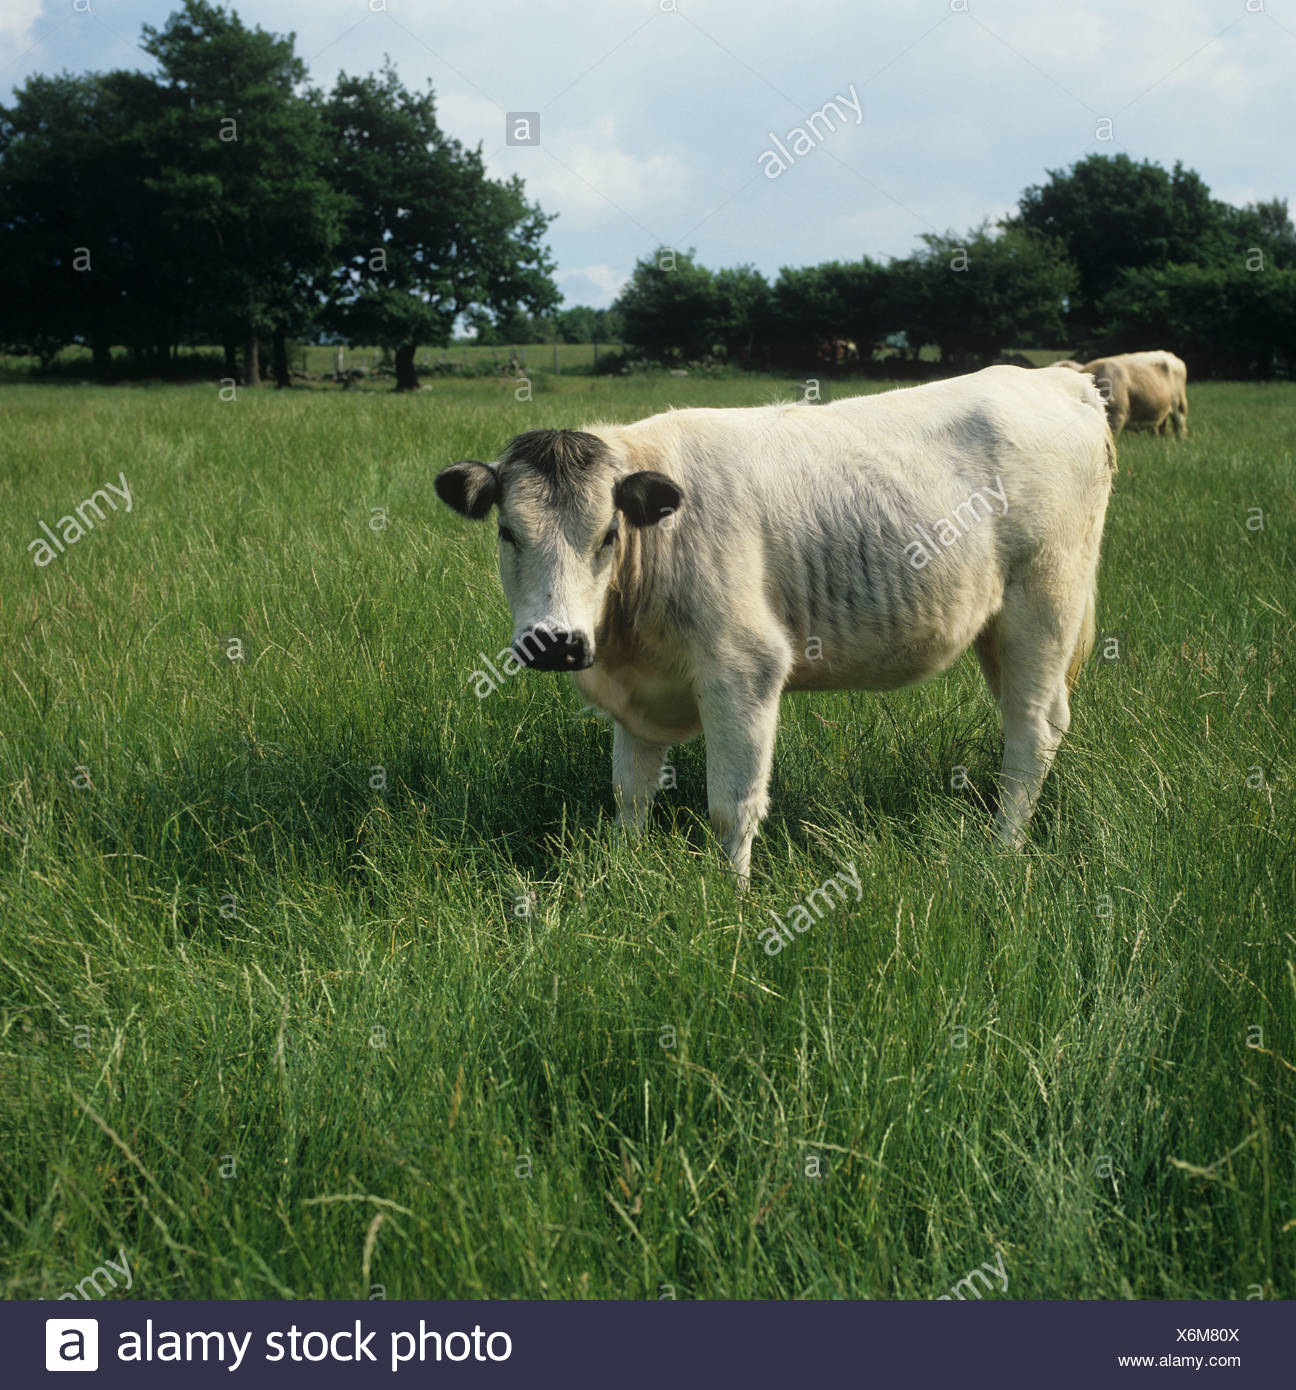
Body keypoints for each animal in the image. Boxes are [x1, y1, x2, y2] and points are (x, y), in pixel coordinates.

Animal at [435, 365, 1116, 885]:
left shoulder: (744, 670)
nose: (555, 642)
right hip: (1001, 630)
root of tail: (1055, 377)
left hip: (1044, 602)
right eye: (507, 532)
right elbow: (631, 793)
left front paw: (730, 899)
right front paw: (626, 874)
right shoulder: (637, 690)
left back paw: (1002, 849)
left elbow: (731, 804)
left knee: (1031, 730)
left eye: (608, 534)